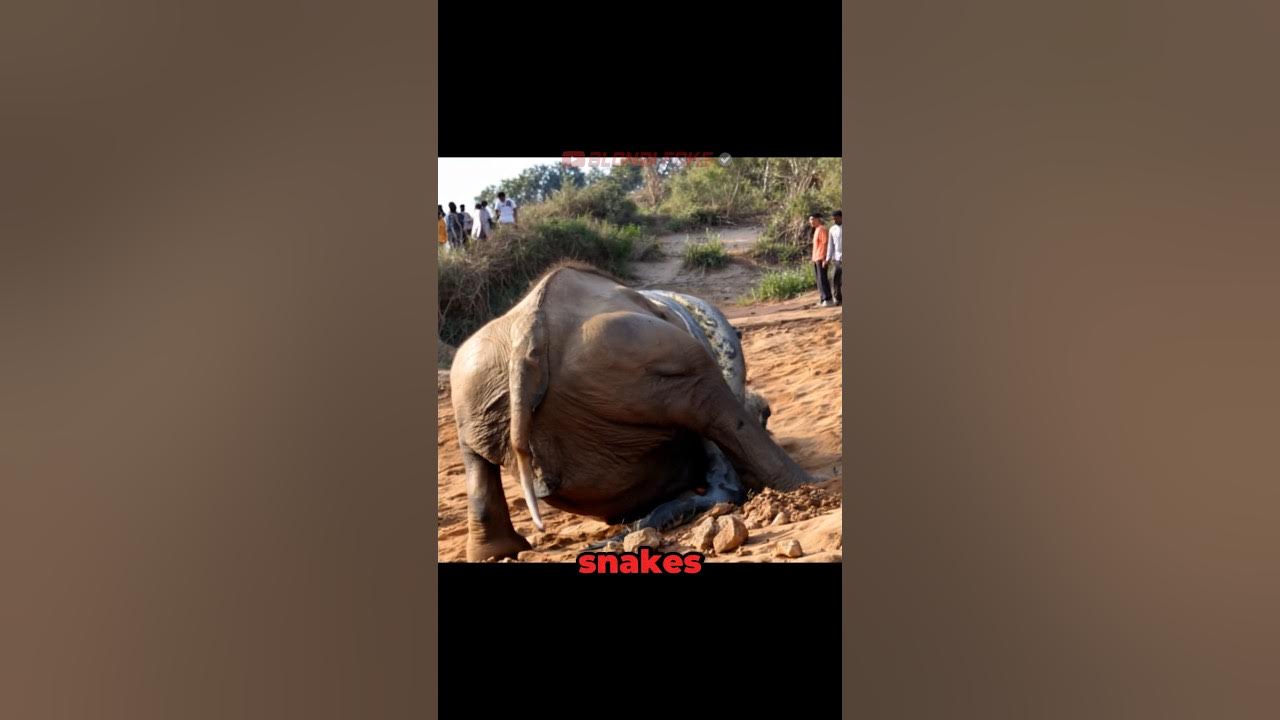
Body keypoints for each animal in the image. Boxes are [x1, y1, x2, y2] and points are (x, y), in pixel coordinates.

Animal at [449, 262, 813, 561]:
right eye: (767, 414)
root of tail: (529, 336)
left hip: (471, 387)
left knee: (474, 457)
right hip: (638, 354)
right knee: (707, 389)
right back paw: (814, 487)